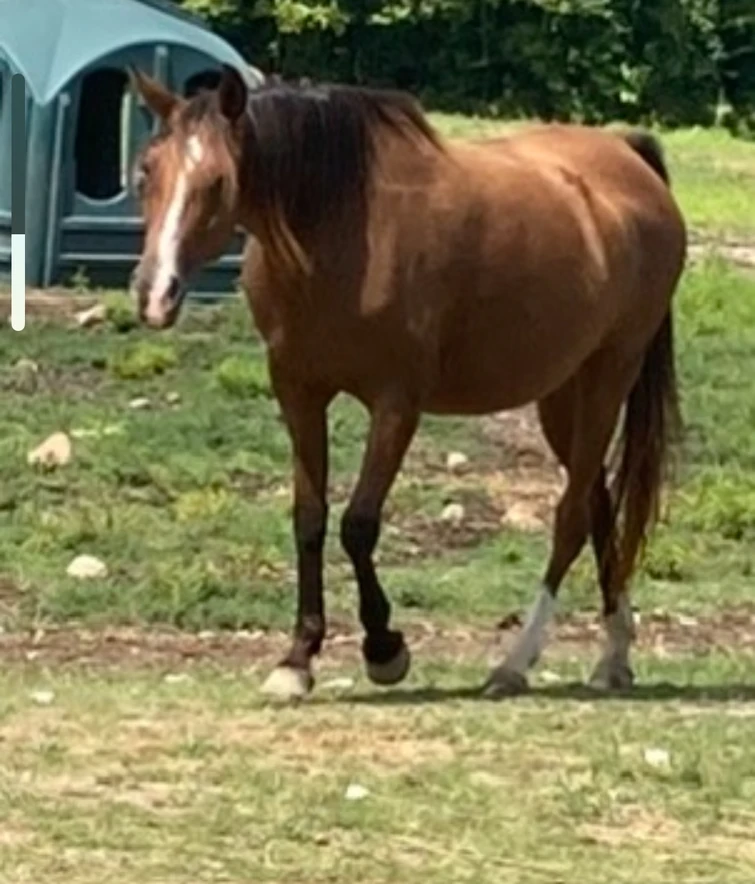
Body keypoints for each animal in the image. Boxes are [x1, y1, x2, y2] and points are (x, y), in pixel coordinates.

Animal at [129, 65, 686, 701]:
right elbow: (309, 519)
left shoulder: (396, 404)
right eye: (146, 170)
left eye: (218, 180)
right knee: (596, 505)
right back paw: (613, 656)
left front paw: (384, 648)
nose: (154, 293)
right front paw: (297, 659)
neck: (341, 231)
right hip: (562, 394)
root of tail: (629, 159)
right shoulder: (298, 393)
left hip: (609, 375)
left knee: (570, 518)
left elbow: (358, 525)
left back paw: (515, 664)